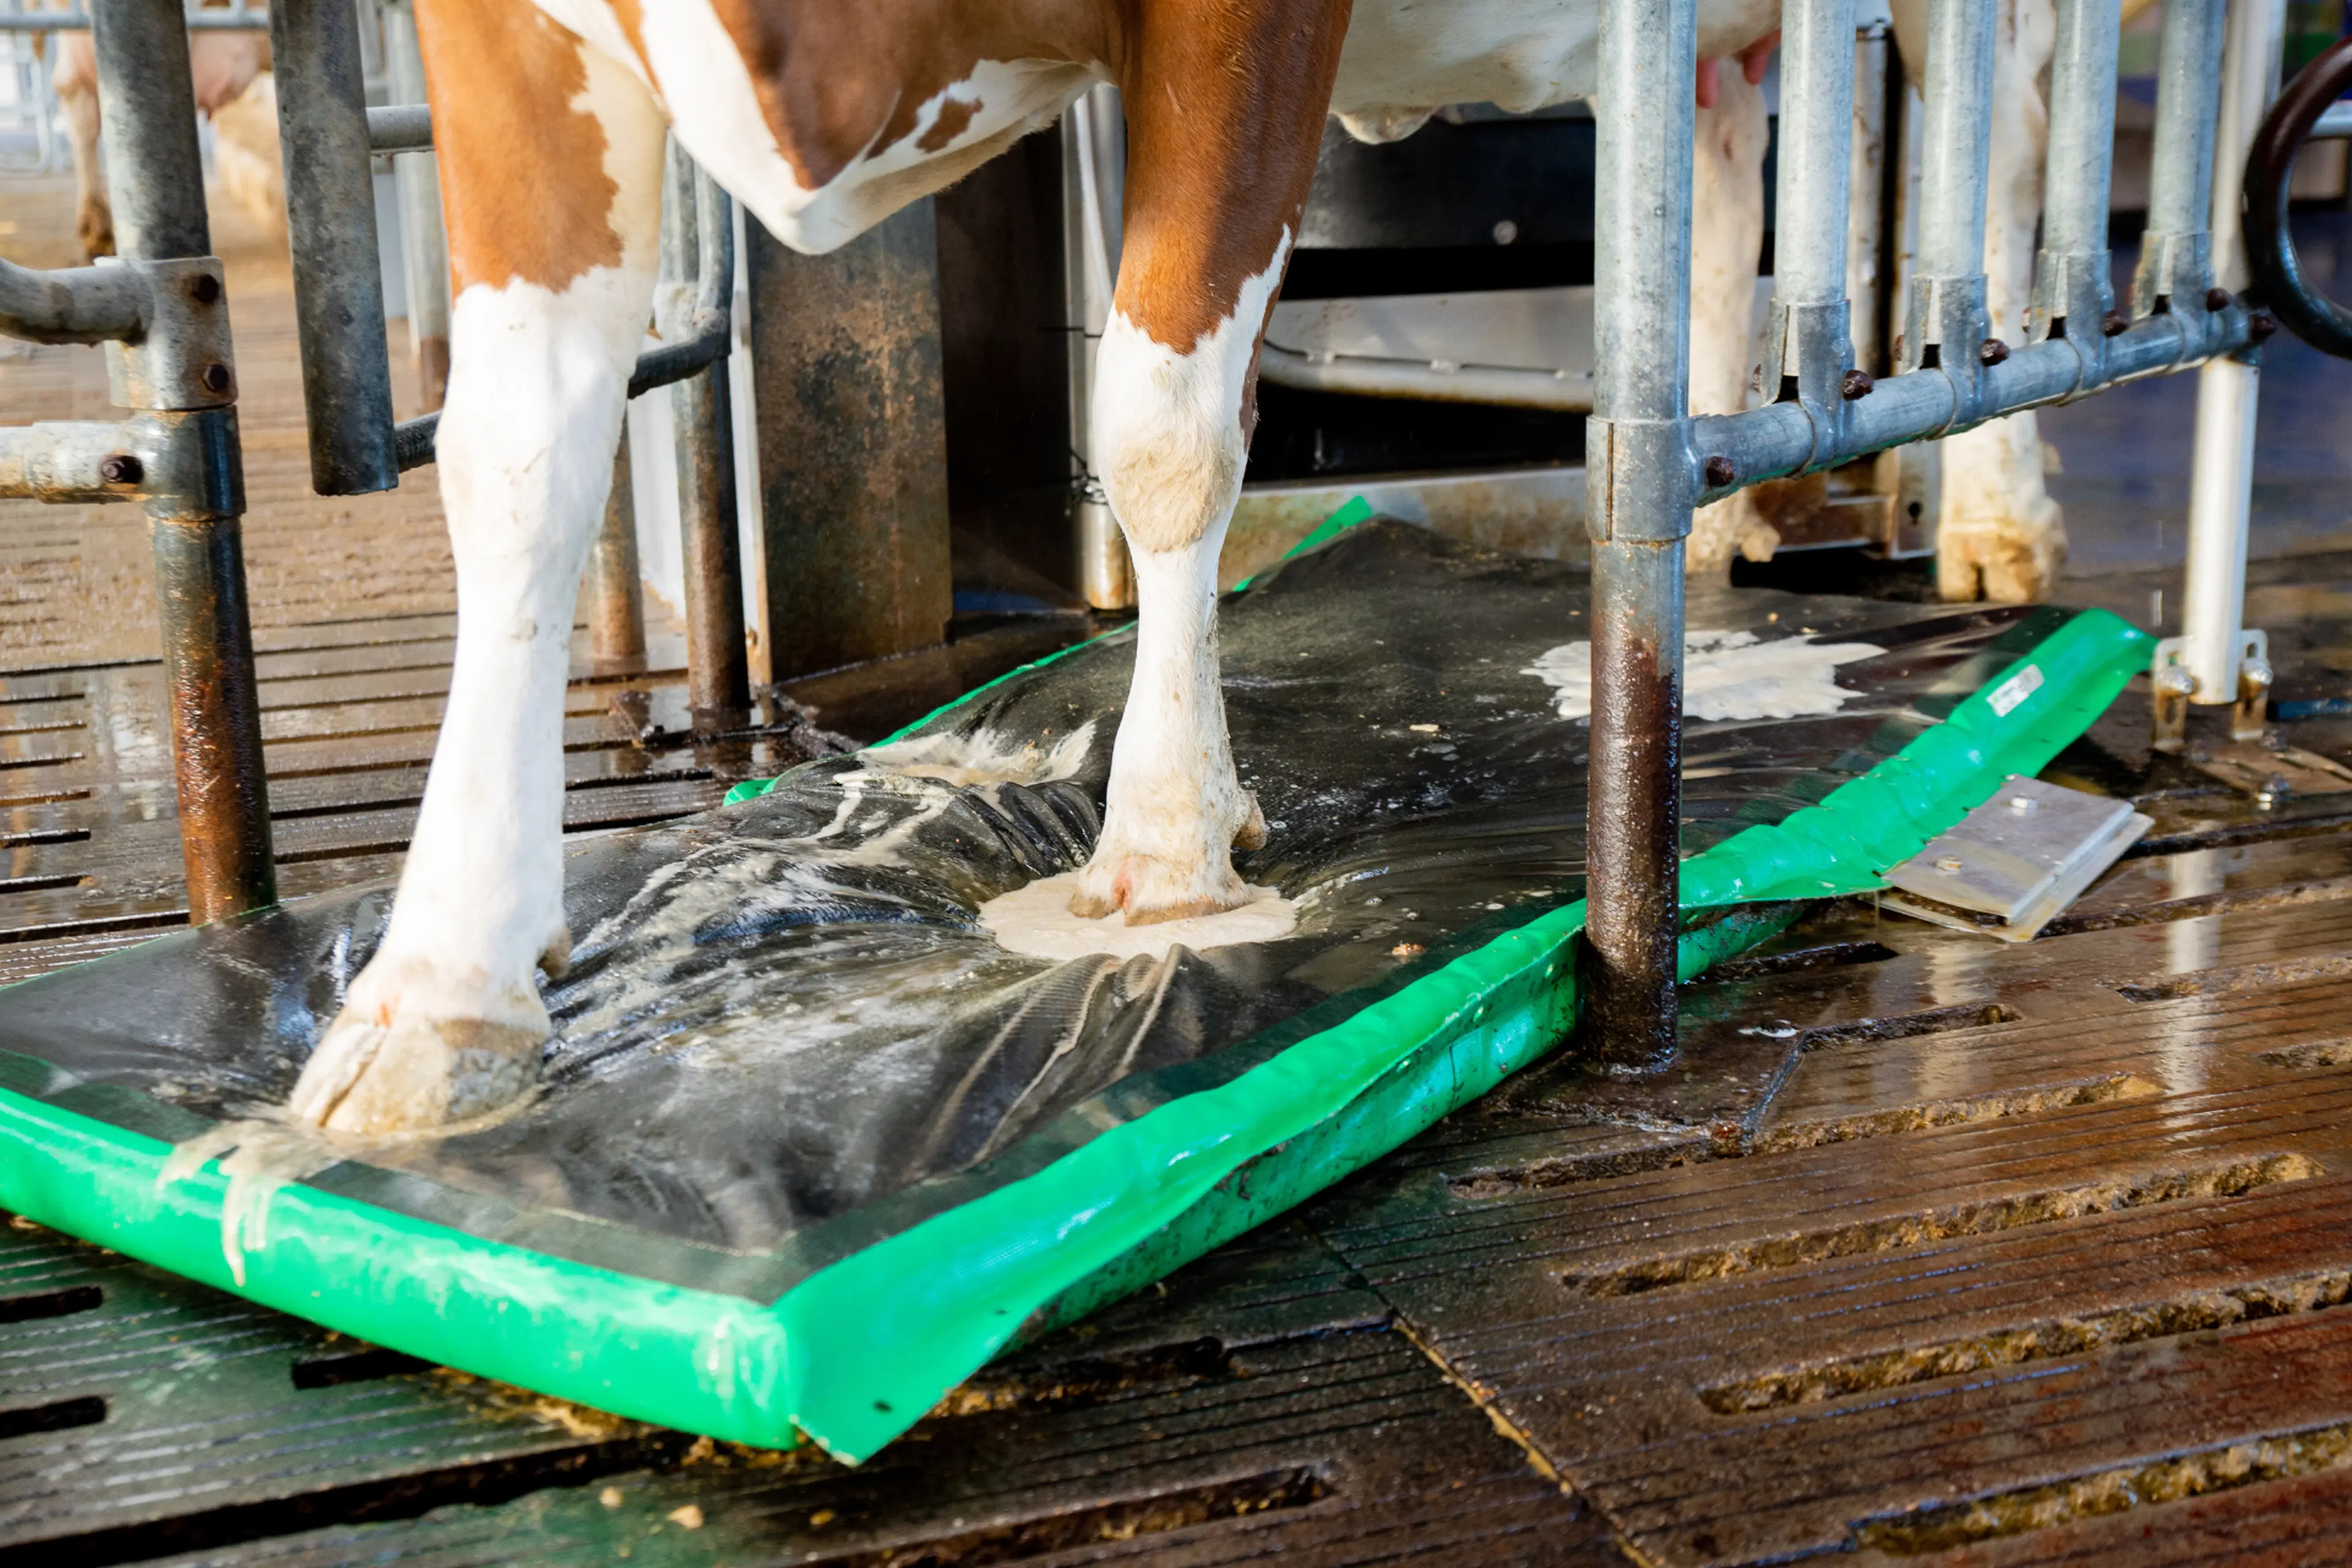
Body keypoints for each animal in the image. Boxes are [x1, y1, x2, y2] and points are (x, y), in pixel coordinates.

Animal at [286, 0, 2069, 1133]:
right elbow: (511, 462)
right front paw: (435, 996)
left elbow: (1157, 418)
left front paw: (1159, 855)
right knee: (1719, 153)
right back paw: (1700, 529)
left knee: (2005, 164)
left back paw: (1995, 518)